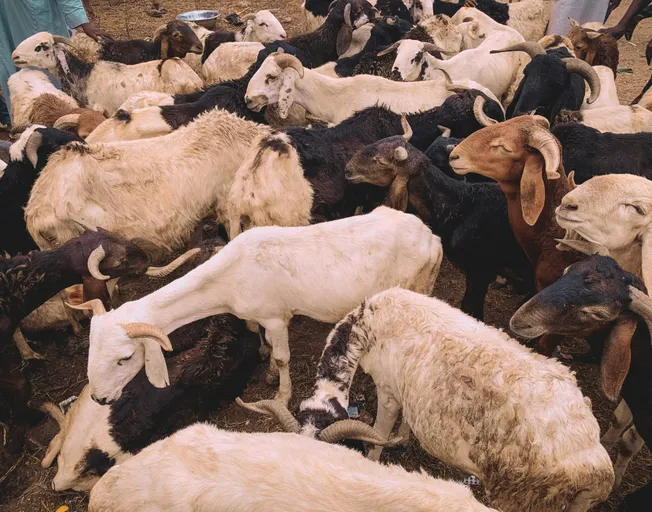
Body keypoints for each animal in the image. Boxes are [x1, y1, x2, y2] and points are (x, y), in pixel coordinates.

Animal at [70, 207, 442, 407]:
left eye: (125, 358)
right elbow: (258, 335)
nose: (99, 399)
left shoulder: (276, 317)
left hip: (418, 285)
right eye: (91, 350)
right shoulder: (256, 316)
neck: (230, 277)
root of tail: (432, 238)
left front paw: (280, 394)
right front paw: (265, 362)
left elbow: (283, 357)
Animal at [240, 288, 614, 512]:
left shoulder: (389, 390)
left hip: (523, 498)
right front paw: (405, 437)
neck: (368, 324)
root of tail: (598, 469)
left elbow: (379, 434)